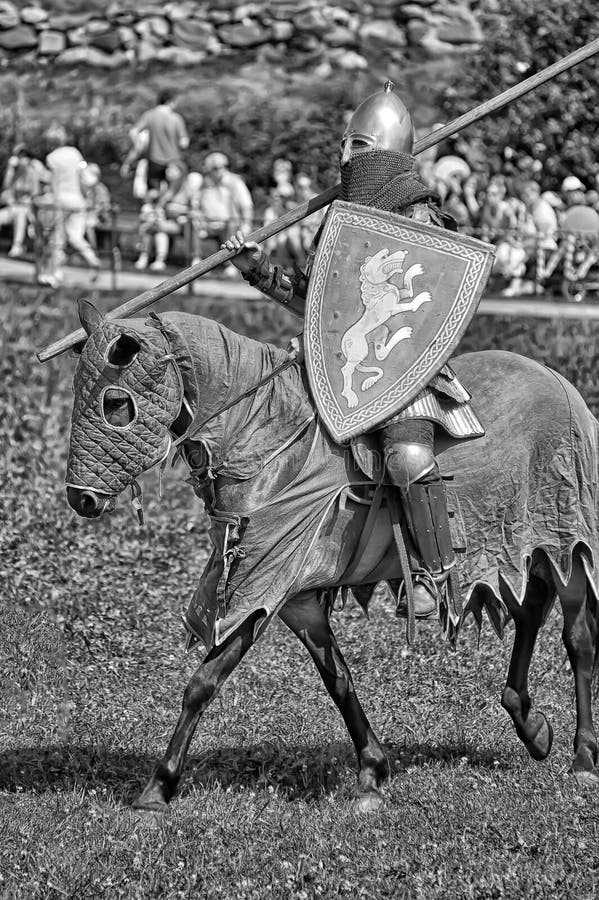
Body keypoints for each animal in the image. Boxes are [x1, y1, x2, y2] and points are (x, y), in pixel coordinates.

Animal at [64, 299, 599, 815]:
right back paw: (531, 725)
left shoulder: (265, 582)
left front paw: (158, 788)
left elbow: (204, 680)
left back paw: (582, 757)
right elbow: (337, 679)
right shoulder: (292, 596)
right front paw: (373, 773)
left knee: (577, 638)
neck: (263, 438)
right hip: (527, 539)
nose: (80, 499)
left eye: (116, 403)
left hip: (563, 529)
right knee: (530, 610)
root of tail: (560, 383)